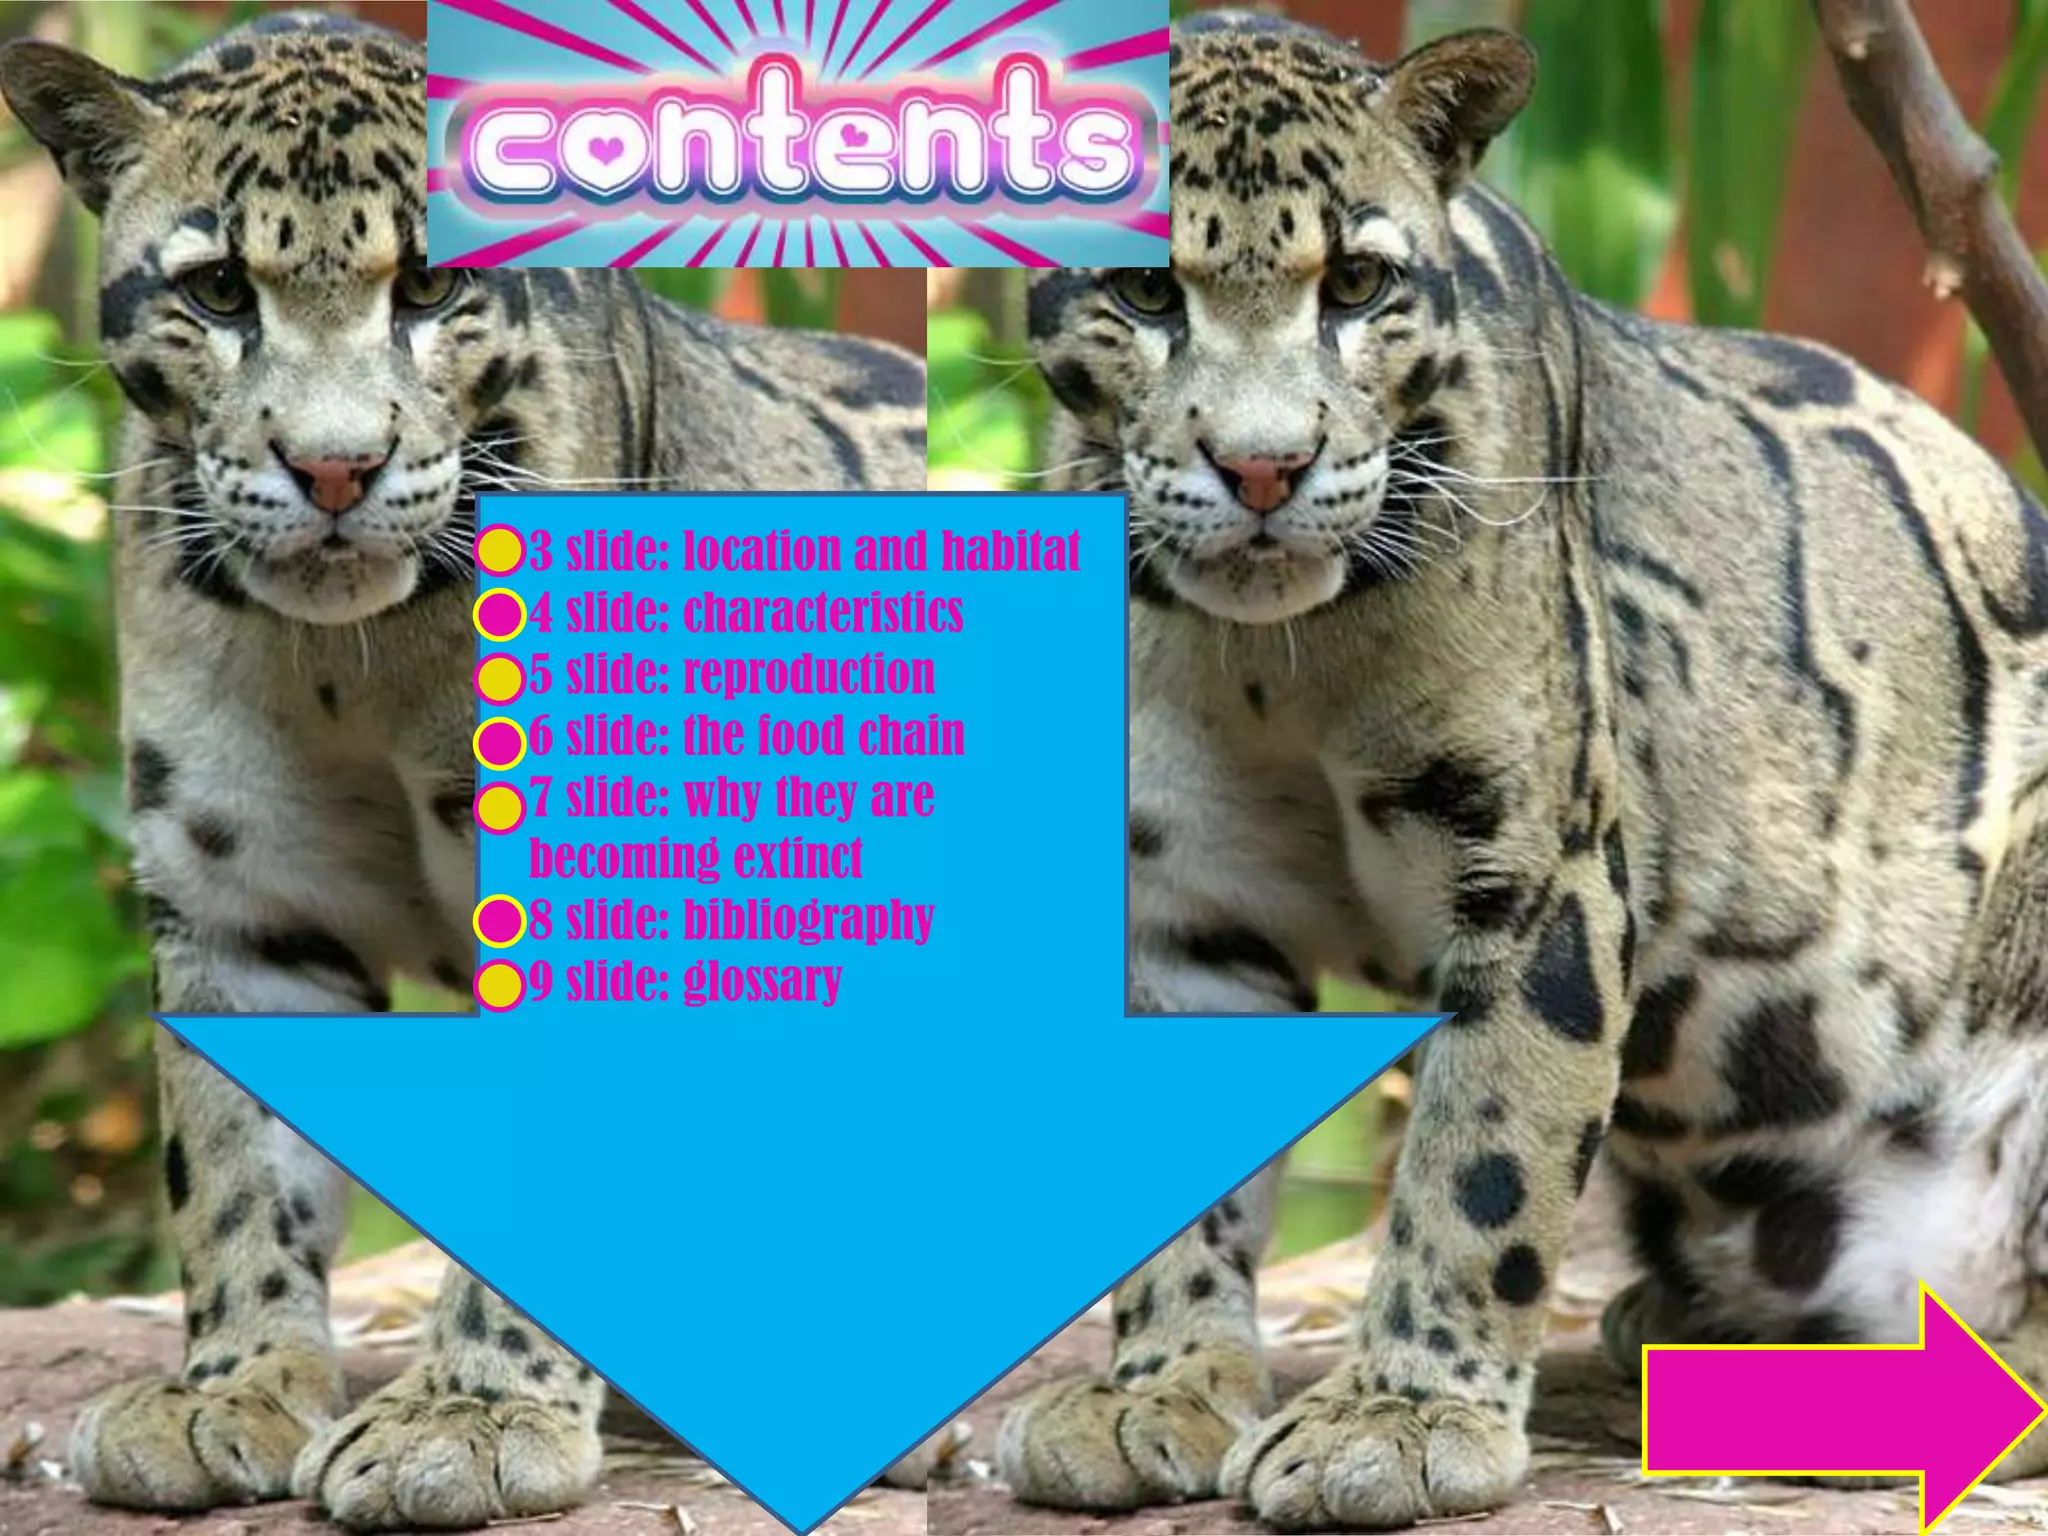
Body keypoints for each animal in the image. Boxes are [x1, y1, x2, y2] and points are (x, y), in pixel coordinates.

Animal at [0, 11, 925, 1531]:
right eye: (220, 292)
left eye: (430, 286)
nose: (333, 470)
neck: (347, 661)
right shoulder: (239, 895)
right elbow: (233, 1169)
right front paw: (230, 1390)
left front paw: (473, 1418)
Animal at [1000, 12, 2048, 1530]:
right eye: (1143, 290)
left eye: (1358, 282)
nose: (1263, 470)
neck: (1270, 661)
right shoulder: (1180, 894)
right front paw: (1159, 1390)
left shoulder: (1532, 865)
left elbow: (1483, 1151)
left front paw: (1400, 1414)